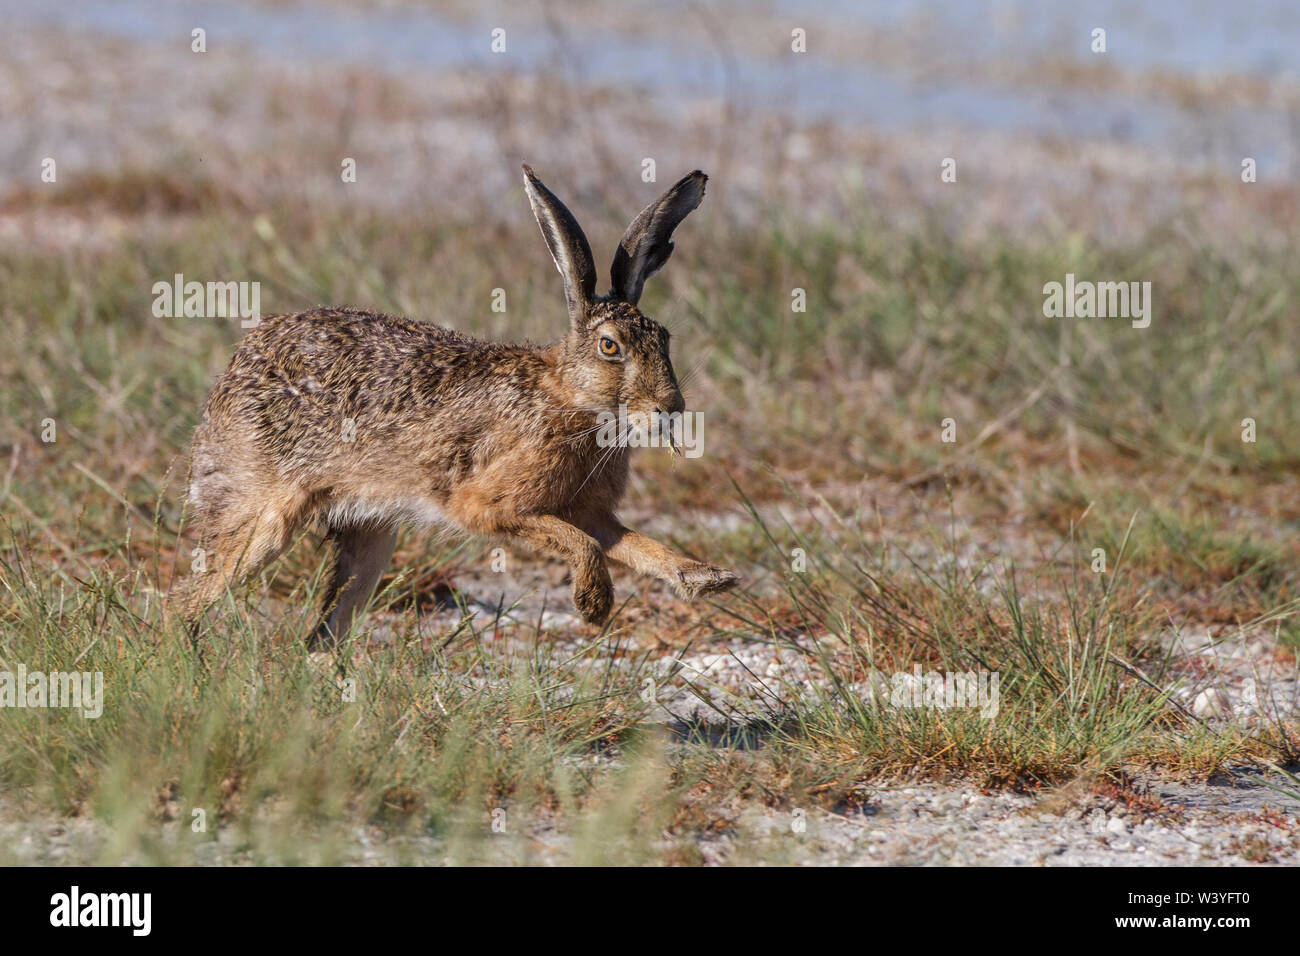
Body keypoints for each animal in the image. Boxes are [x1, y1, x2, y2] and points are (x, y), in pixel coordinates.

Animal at [175, 164, 739, 648]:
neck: (568, 398)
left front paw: (706, 577)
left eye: (664, 338)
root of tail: (231, 372)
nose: (671, 406)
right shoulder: (487, 504)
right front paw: (594, 605)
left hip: (372, 537)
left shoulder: (589, 509)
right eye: (610, 347)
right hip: (262, 516)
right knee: (188, 599)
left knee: (323, 633)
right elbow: (581, 544)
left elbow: (629, 543)